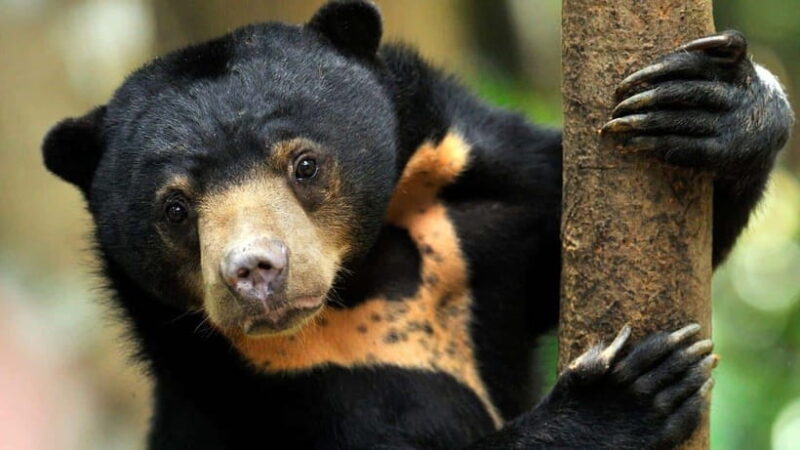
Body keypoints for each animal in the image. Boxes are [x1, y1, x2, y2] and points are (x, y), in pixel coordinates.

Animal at [42, 1, 793, 448]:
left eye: (305, 165)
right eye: (174, 209)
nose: (253, 272)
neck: (366, 275)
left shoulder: (484, 216)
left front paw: (716, 105)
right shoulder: (267, 391)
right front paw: (630, 391)